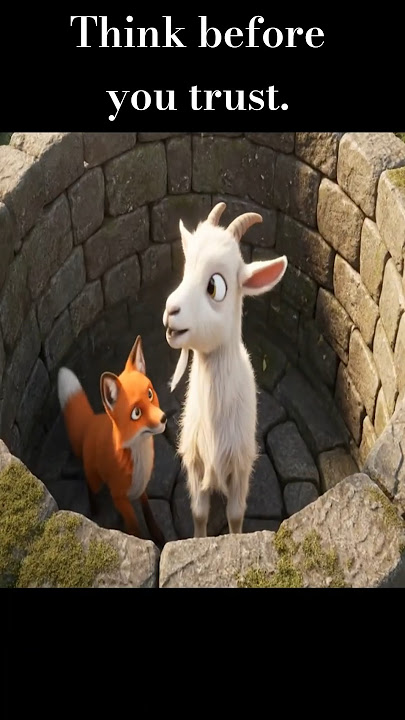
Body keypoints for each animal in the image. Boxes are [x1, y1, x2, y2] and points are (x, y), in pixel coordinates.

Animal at [57, 335, 166, 547]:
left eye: (150, 394)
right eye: (136, 413)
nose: (164, 418)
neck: (138, 455)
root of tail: (92, 421)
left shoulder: (141, 487)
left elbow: (148, 512)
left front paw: (157, 533)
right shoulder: (119, 498)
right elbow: (134, 527)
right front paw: (141, 540)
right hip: (96, 478)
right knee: (90, 485)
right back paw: (94, 510)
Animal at [163, 202, 288, 538]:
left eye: (215, 286)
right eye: (184, 271)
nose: (170, 311)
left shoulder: (240, 465)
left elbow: (235, 514)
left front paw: (234, 540)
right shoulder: (195, 463)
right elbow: (199, 512)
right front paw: (198, 540)